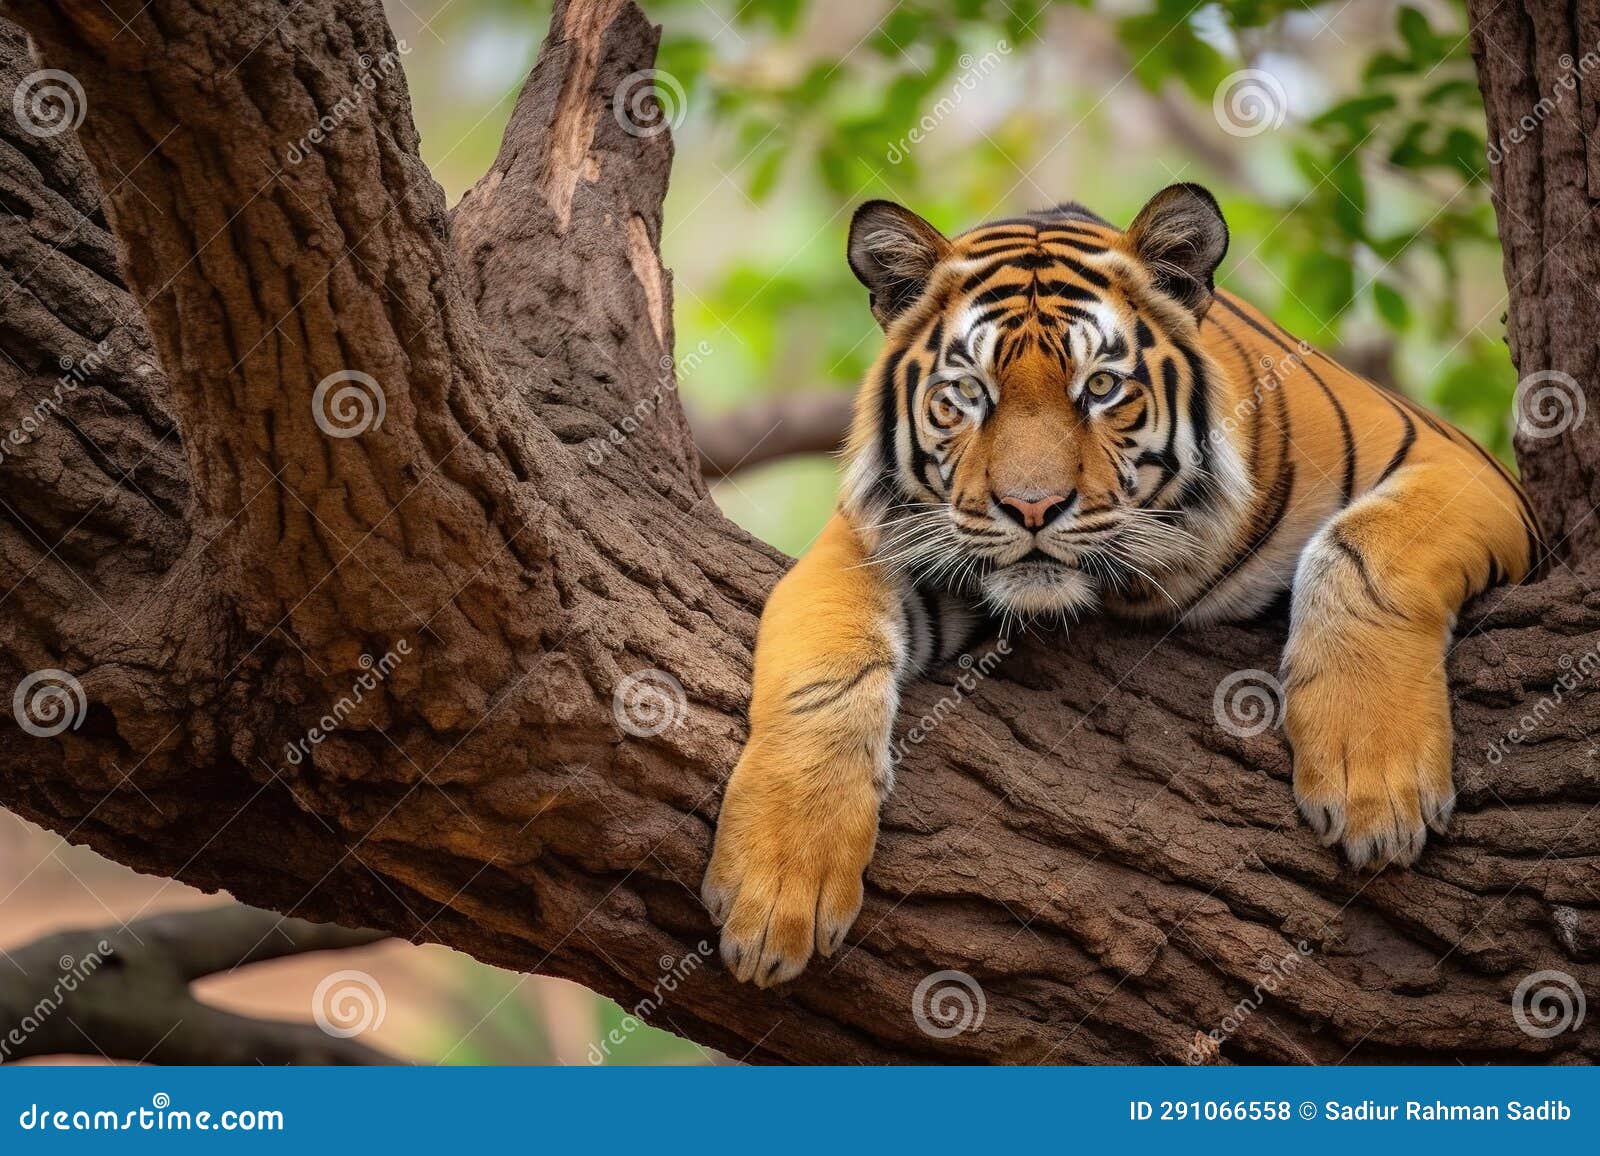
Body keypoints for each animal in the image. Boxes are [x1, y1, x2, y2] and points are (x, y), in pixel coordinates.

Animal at [700, 184, 1544, 988]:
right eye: (969, 393)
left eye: (1101, 387)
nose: (1031, 507)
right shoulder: (870, 540)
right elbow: (824, 666)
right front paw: (776, 892)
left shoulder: (1461, 463)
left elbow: (1364, 550)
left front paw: (1378, 792)